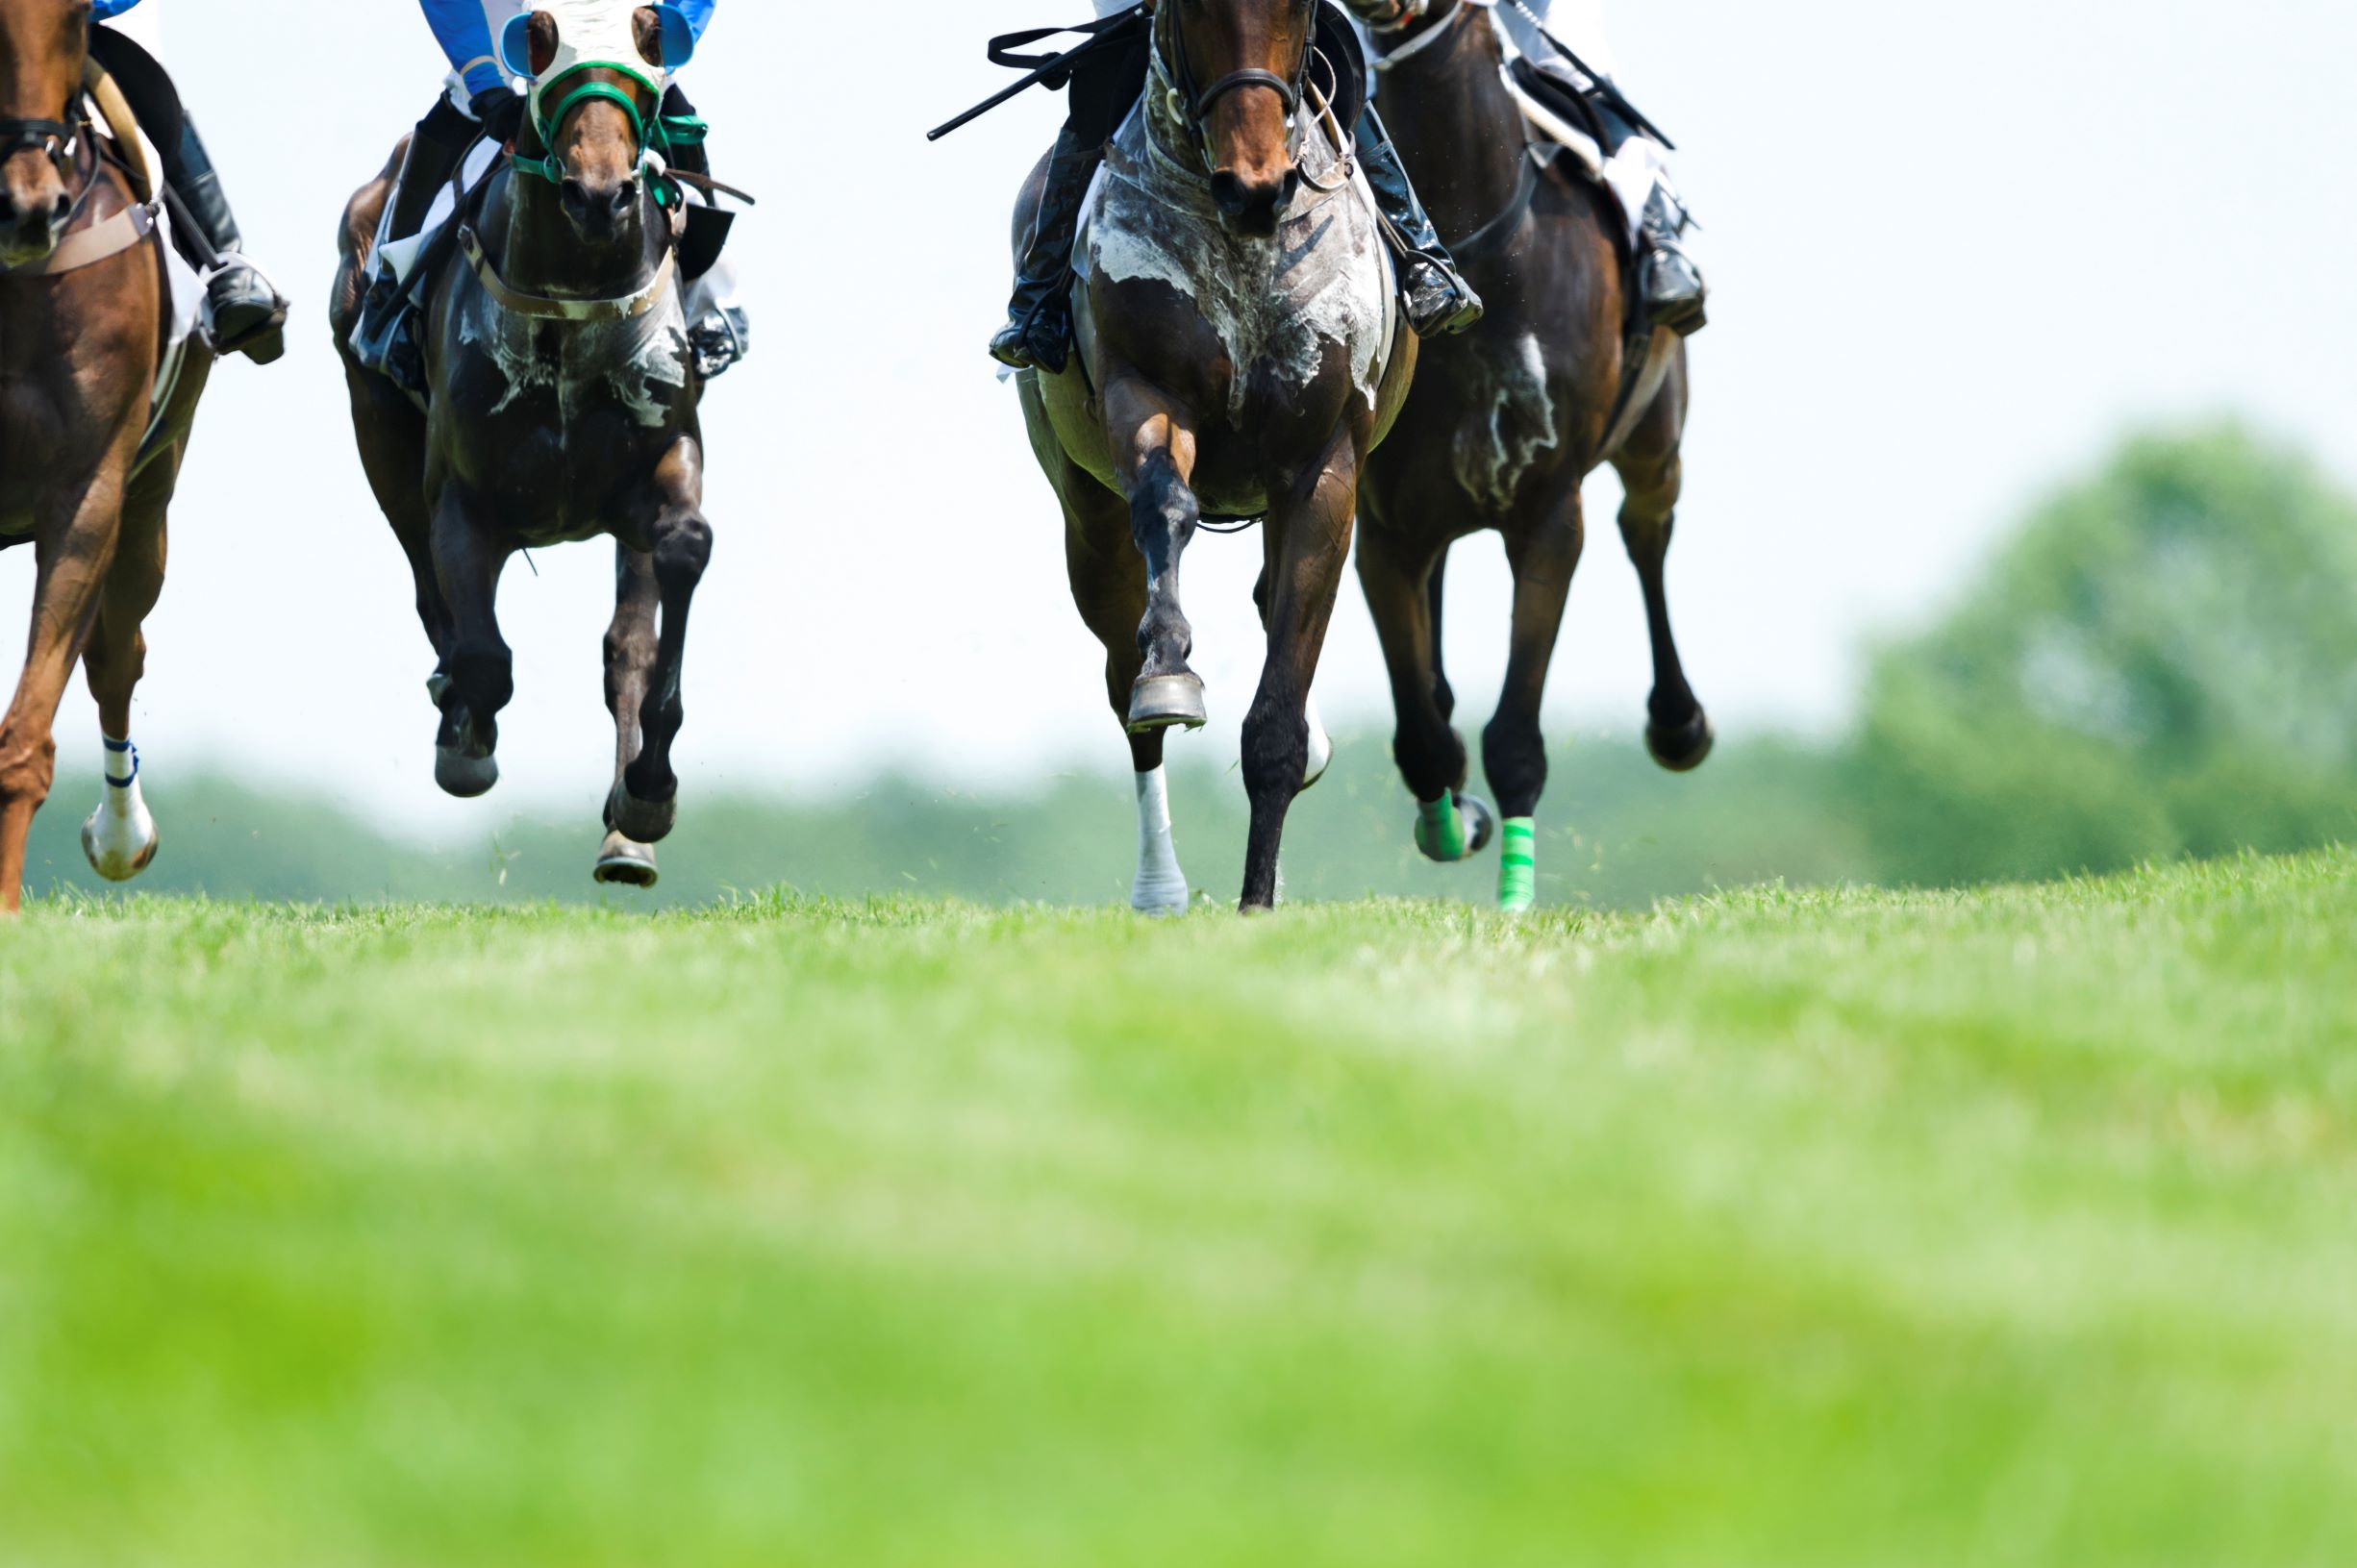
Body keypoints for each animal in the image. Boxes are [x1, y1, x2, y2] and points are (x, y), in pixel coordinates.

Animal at [331, 5, 713, 888]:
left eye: (649, 33)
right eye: (536, 37)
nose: (600, 193)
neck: (573, 297)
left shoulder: (662, 458)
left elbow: (677, 563)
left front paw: (649, 790)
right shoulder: (462, 501)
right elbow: (482, 657)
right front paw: (465, 737)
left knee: (624, 645)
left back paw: (626, 833)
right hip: (380, 433)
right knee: (431, 593)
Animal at [1017, 0, 1417, 914]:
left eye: (1301, 10)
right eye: (1193, 10)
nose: (1255, 188)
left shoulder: (1322, 467)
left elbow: (1278, 719)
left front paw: (1257, 901)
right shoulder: (1145, 390)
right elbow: (1166, 507)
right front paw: (1171, 672)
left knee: (1274, 609)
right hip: (1084, 521)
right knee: (1120, 677)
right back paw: (1157, 885)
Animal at [1338, 0, 1711, 912]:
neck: (1477, 254)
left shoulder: (1546, 513)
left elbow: (1512, 735)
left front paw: (1514, 900)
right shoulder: (1383, 525)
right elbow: (1422, 732)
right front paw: (1449, 820)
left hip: (1654, 440)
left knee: (1645, 531)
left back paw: (1678, 720)